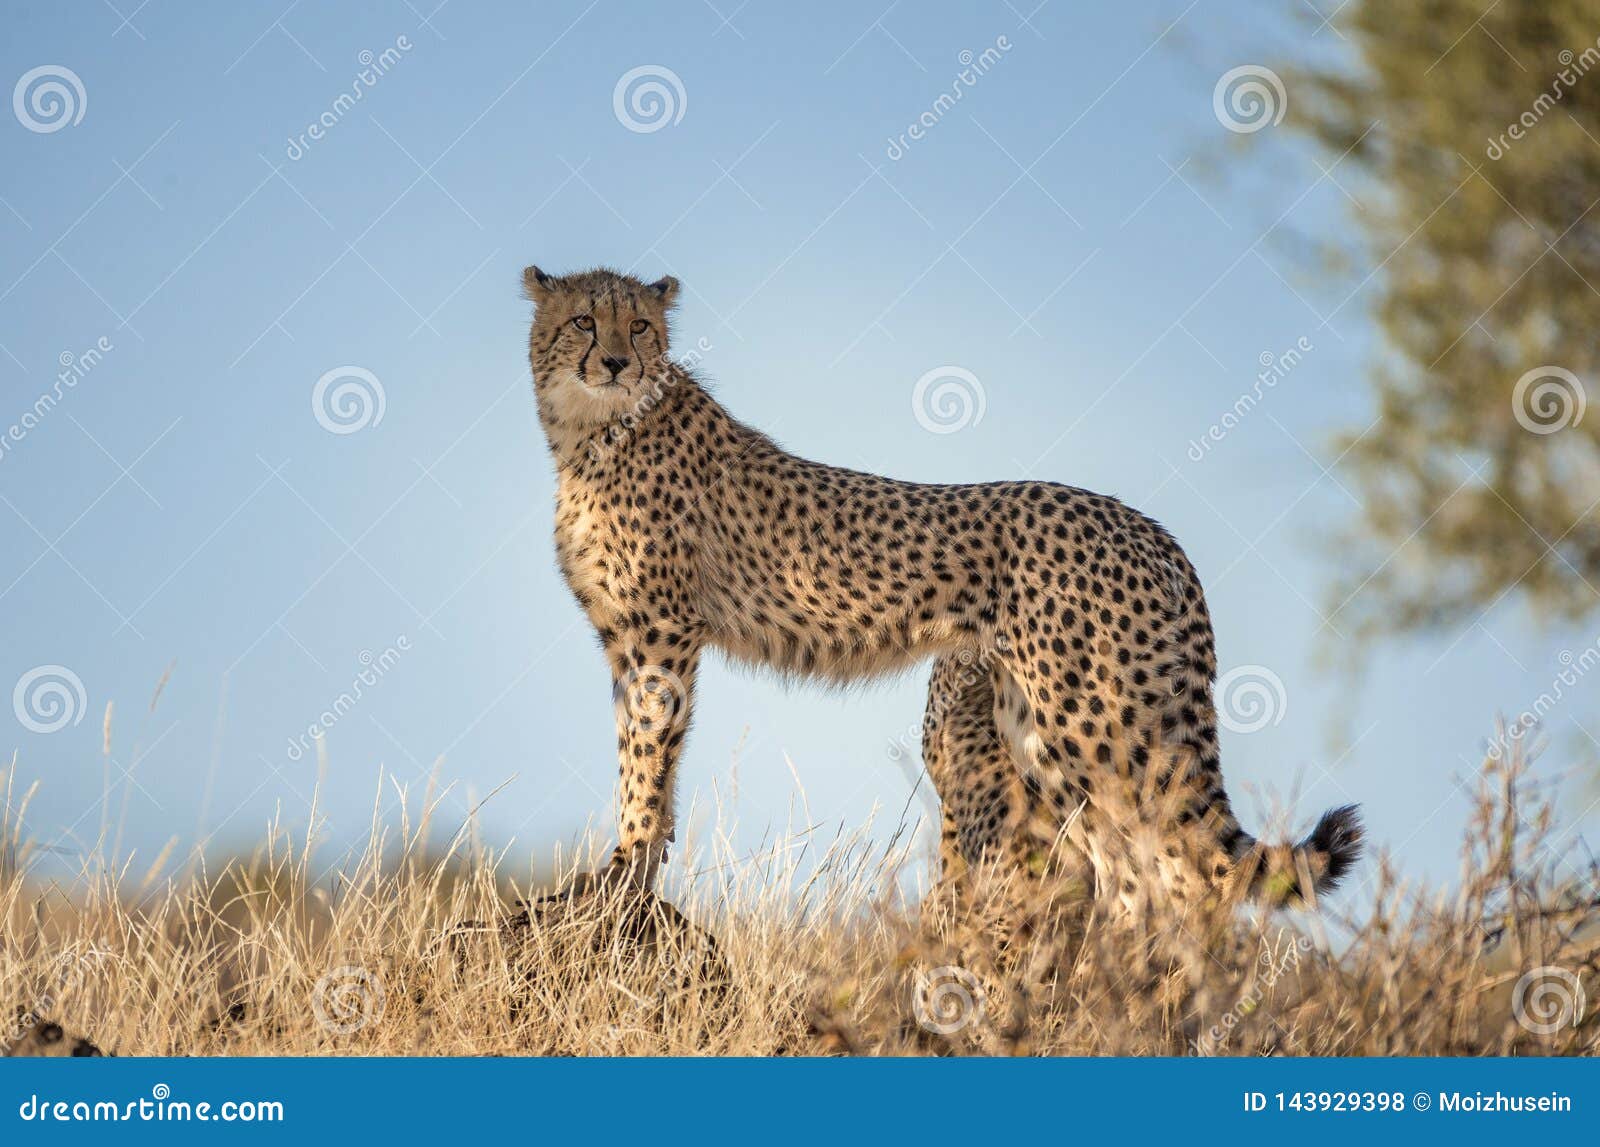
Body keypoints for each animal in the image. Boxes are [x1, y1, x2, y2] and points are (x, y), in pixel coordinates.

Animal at [522, 264, 1362, 910]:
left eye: (638, 325)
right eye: (583, 321)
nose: (617, 363)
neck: (591, 431)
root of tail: (1146, 525)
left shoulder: (660, 632)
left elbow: (644, 756)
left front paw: (619, 875)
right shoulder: (631, 637)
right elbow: (651, 760)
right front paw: (634, 871)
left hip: (1097, 720)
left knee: (1173, 867)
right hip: (1039, 728)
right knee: (1128, 861)